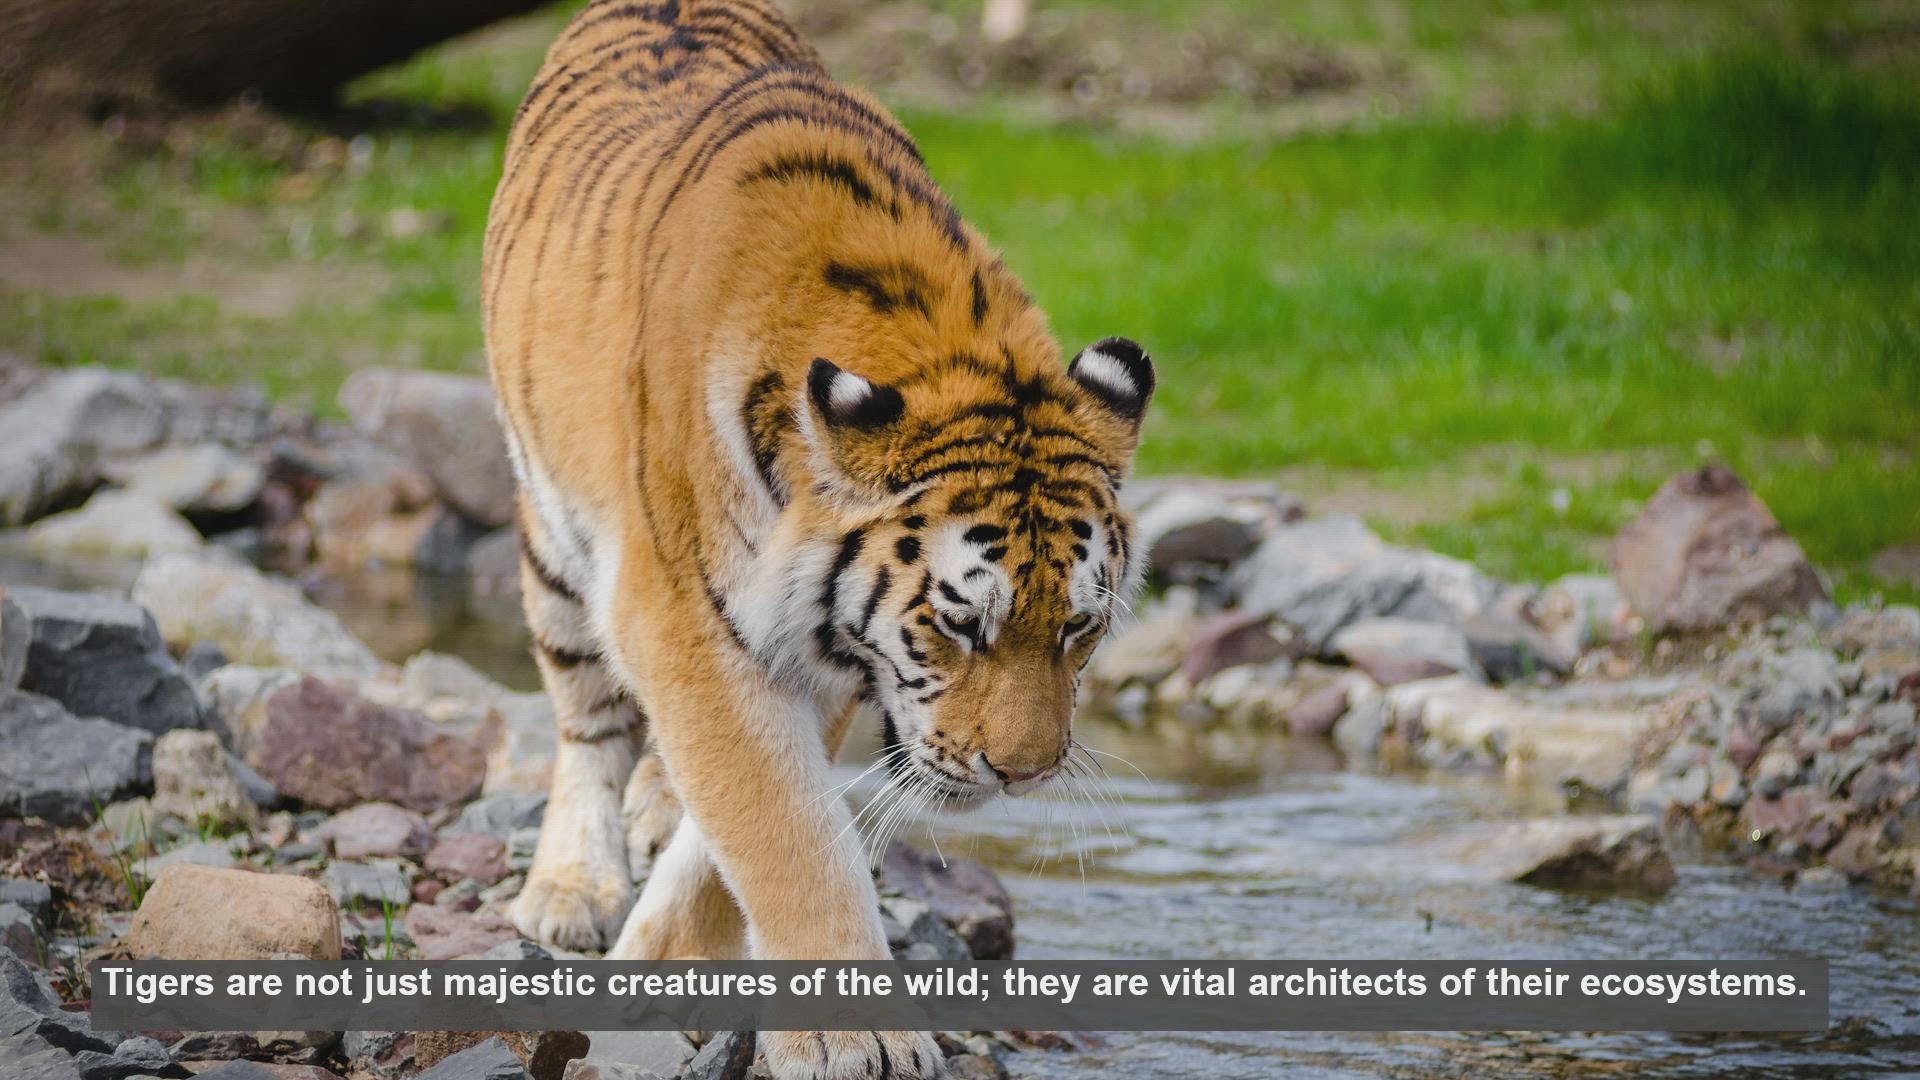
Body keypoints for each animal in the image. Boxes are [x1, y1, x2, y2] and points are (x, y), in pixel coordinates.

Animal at [482, 1, 1154, 1075]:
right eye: (959, 625)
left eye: (1079, 629)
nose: (1023, 774)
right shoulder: (683, 615)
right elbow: (784, 826)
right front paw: (854, 1039)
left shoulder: (826, 646)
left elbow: (735, 837)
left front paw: (669, 974)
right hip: (553, 538)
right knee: (586, 720)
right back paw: (571, 887)